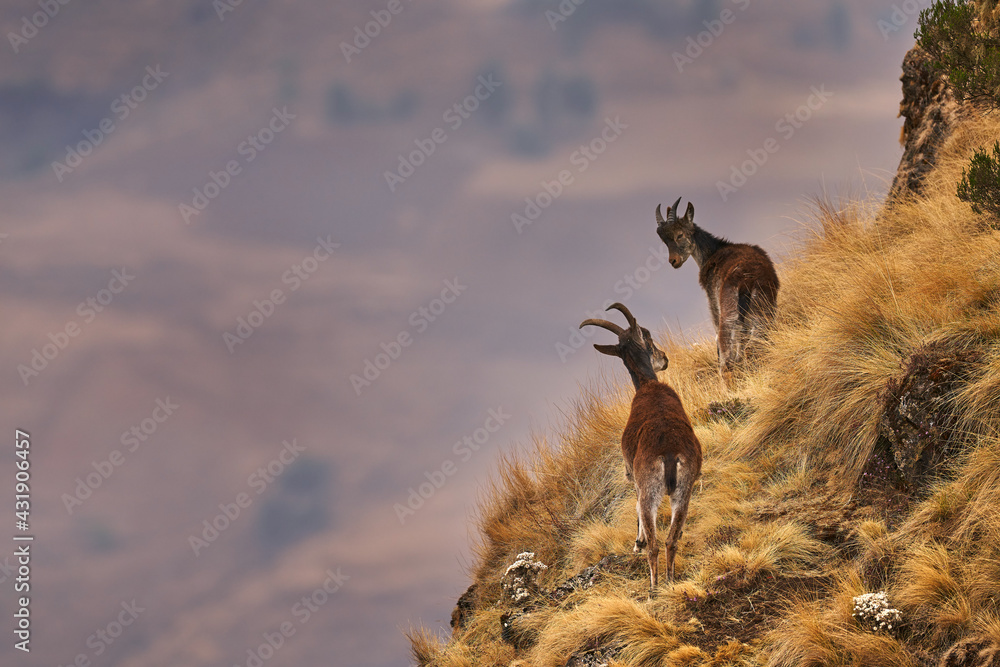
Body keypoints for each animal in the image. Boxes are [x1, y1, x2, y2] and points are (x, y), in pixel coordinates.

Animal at [580, 303, 702, 594]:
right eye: (648, 335)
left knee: (655, 543)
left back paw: (654, 587)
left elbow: (634, 505)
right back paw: (669, 581)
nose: (664, 358)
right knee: (671, 540)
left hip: (650, 491)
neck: (648, 385)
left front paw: (638, 542)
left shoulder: (631, 473)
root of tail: (669, 454)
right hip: (684, 490)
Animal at [655, 198, 779, 386]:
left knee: (727, 360)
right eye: (664, 241)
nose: (674, 261)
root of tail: (746, 281)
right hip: (761, 310)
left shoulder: (714, 304)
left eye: (680, 234)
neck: (713, 252)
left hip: (728, 317)